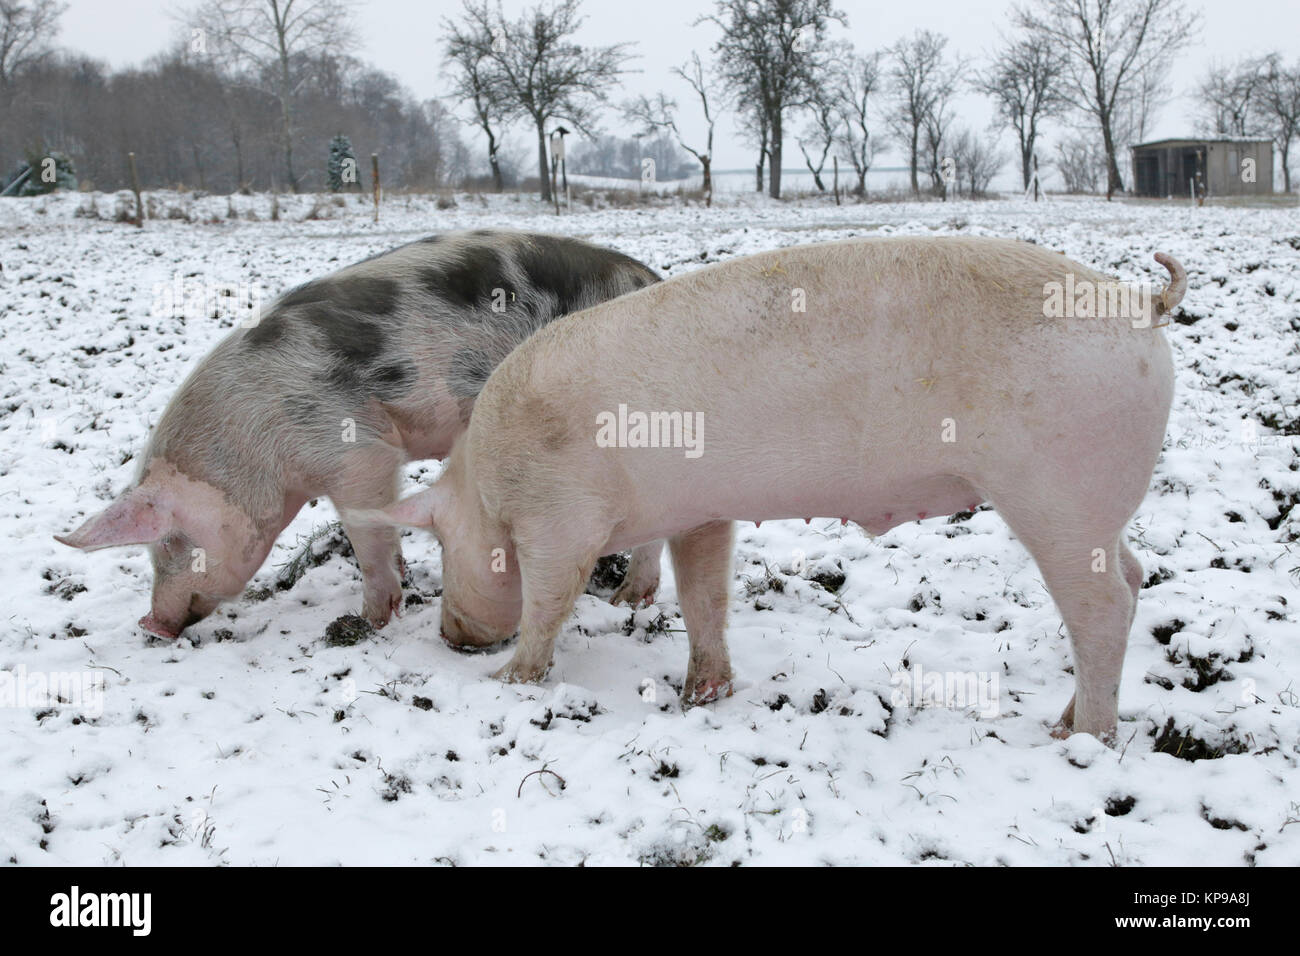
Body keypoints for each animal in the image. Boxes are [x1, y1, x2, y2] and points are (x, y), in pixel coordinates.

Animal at [55, 231, 665, 638]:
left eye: (168, 541)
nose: (149, 623)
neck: (255, 448)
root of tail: (652, 280)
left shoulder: (358, 453)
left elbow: (365, 533)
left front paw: (370, 618)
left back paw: (626, 600)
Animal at [381, 236, 1185, 742]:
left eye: (440, 541)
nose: (451, 637)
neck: (490, 482)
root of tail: (1142, 303)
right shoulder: (701, 513)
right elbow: (703, 595)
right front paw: (702, 694)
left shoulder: (559, 518)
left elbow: (548, 603)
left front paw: (509, 683)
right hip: (1097, 506)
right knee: (1134, 574)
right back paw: (1067, 719)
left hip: (1057, 495)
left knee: (1103, 607)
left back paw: (1079, 739)